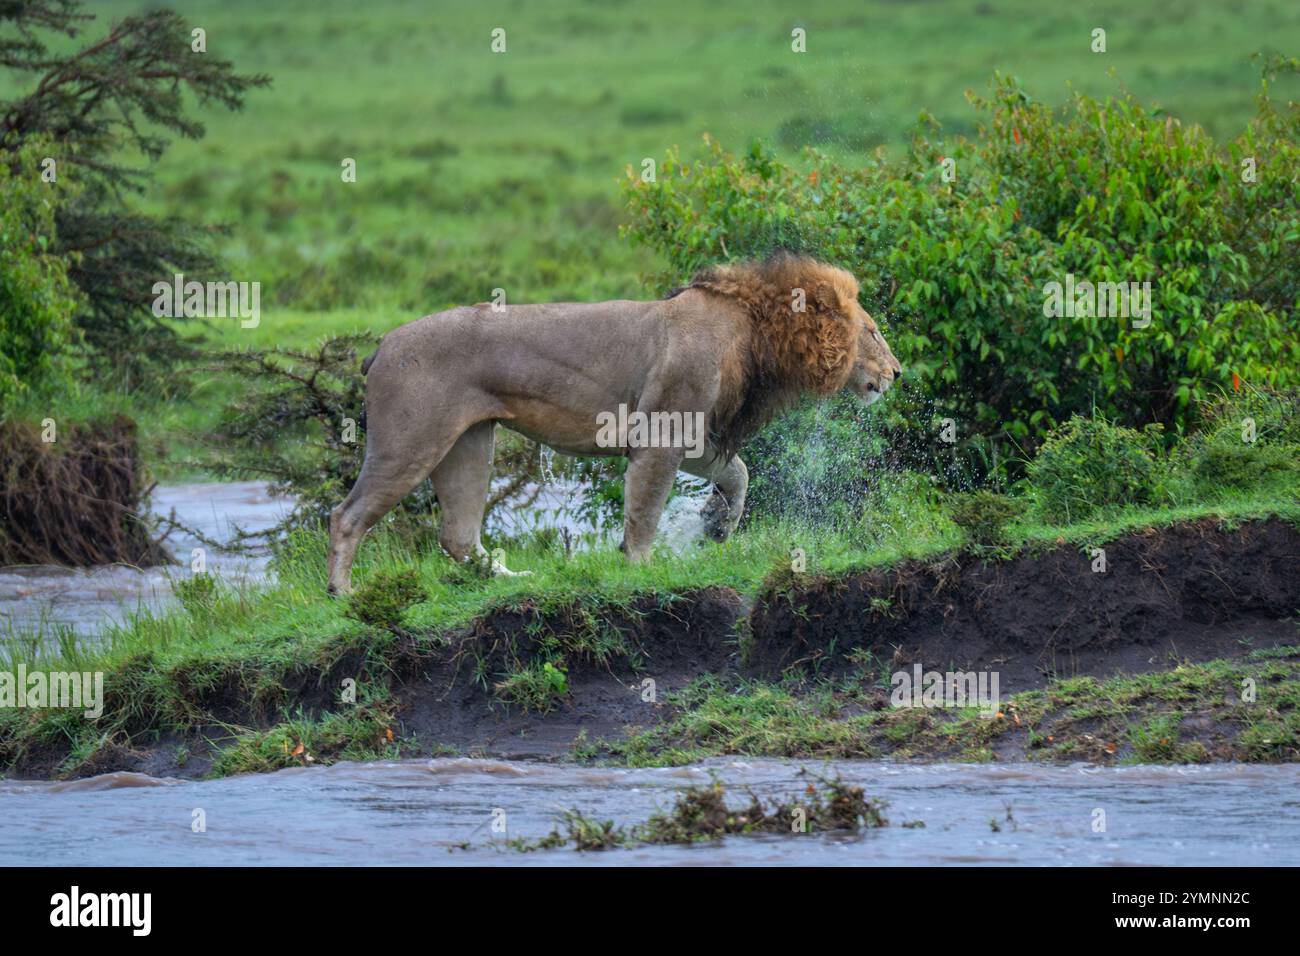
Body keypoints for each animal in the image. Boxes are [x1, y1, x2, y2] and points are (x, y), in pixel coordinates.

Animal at [327, 253, 902, 594]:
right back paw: (344, 593)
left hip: (467, 443)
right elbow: (645, 511)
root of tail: (382, 346)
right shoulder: (663, 433)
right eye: (873, 332)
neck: (755, 333)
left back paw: (516, 578)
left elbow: (739, 474)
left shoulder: (694, 436)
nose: (897, 372)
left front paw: (717, 526)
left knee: (457, 536)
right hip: (411, 442)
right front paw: (642, 567)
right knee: (346, 516)